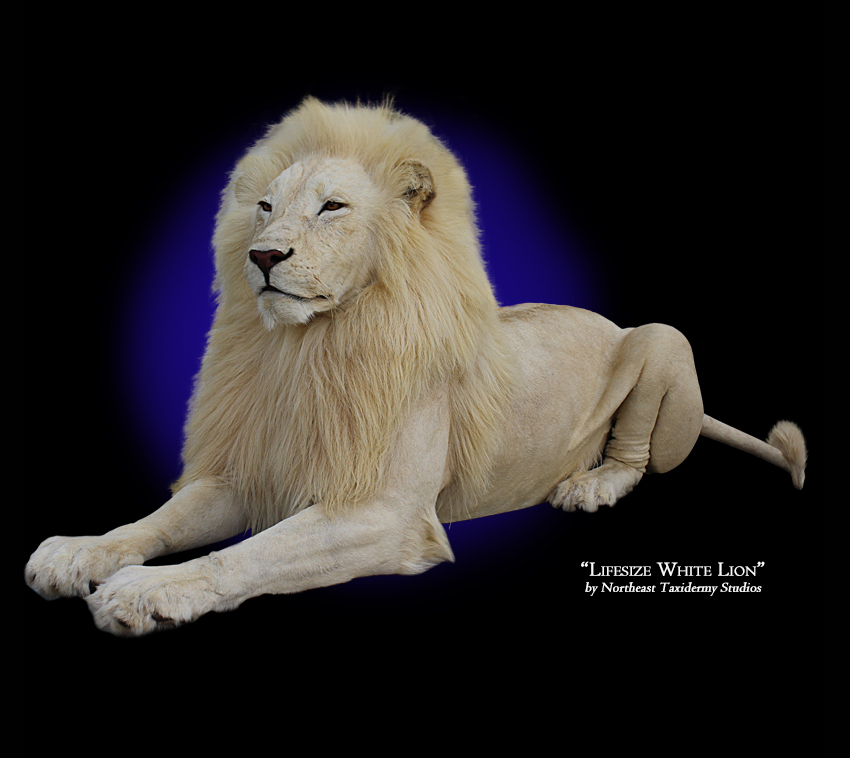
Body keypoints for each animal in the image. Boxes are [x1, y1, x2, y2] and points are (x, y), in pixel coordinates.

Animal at [24, 98, 807, 636]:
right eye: (266, 207)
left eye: (332, 208)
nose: (263, 256)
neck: (307, 352)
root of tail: (608, 321)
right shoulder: (254, 470)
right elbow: (161, 519)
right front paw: (78, 553)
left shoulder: (390, 515)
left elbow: (254, 554)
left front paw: (147, 590)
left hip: (661, 338)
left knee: (638, 453)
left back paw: (589, 486)